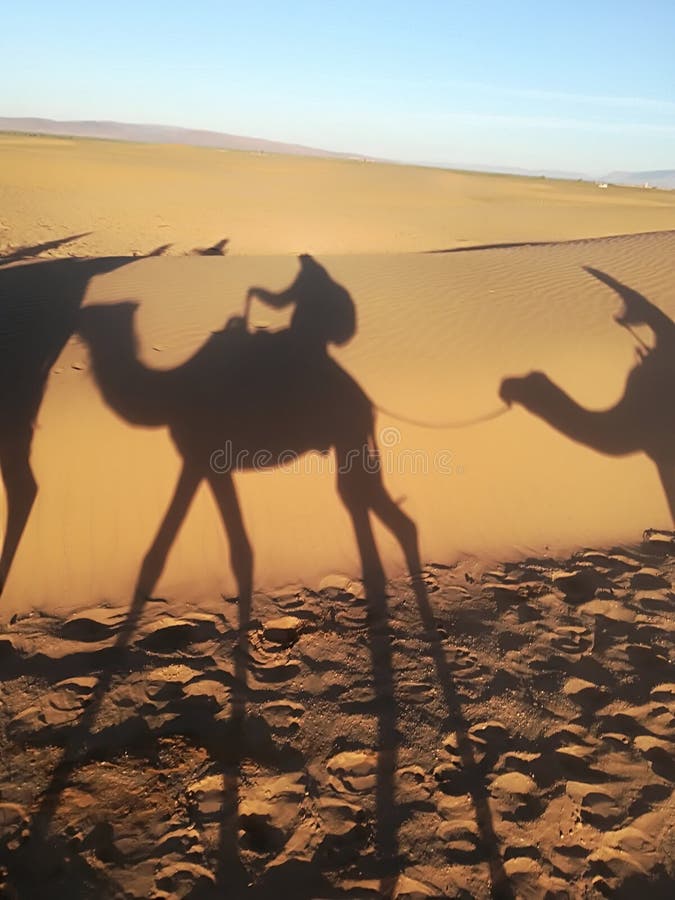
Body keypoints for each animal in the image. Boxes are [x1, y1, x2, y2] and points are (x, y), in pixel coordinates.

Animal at [77, 301, 422, 616]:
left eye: (97, 319)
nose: (76, 326)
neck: (170, 394)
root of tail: (366, 401)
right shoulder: (202, 462)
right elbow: (186, 549)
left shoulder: (204, 458)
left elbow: (228, 551)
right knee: (368, 506)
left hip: (348, 437)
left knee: (384, 513)